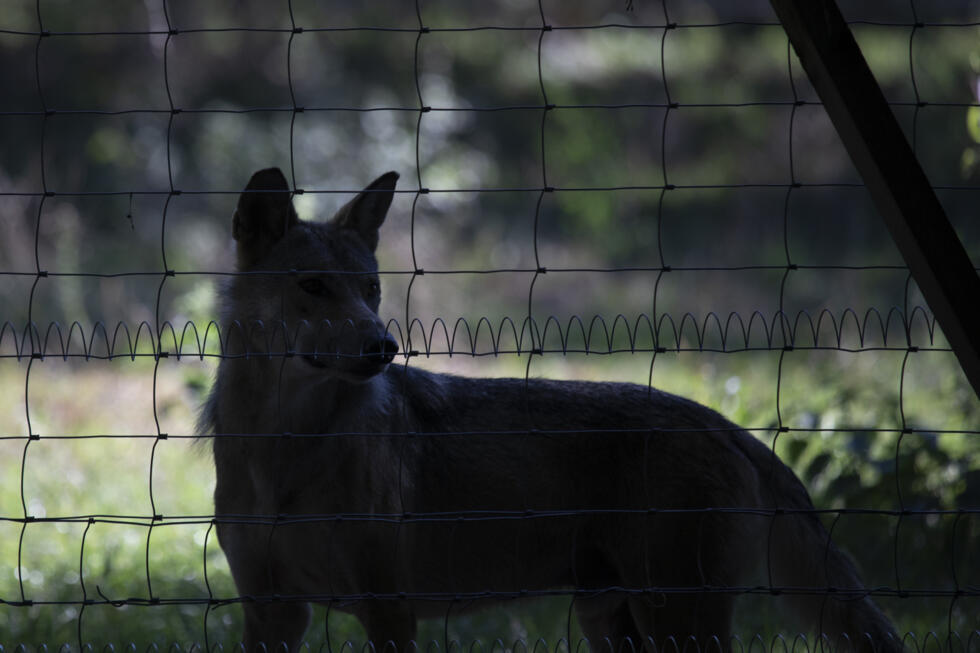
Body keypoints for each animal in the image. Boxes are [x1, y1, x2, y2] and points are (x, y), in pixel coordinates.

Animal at [200, 168, 900, 653]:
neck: (282, 449)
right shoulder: (273, 612)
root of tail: (729, 427)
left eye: (371, 289)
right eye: (313, 286)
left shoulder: (389, 610)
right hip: (612, 621)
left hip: (674, 619)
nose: (384, 346)